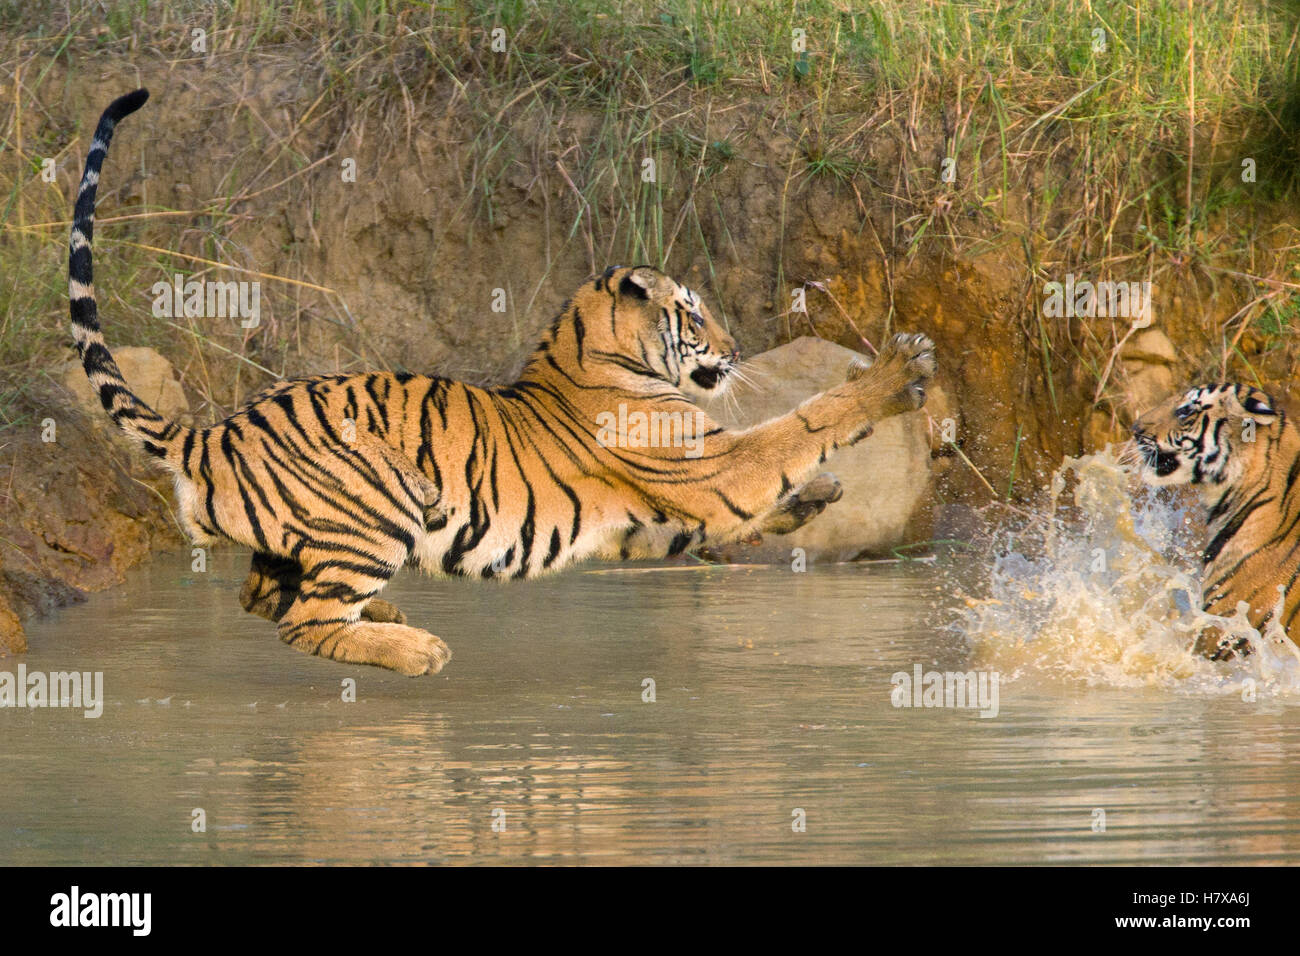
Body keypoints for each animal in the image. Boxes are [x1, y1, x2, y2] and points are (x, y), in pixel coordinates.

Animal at [69, 89, 937, 676]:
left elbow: (773, 486)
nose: (734, 346)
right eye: (696, 312)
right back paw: (417, 647)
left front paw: (819, 494)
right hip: (377, 499)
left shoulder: (663, 515)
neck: (590, 352)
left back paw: (388, 610)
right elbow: (801, 423)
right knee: (303, 621)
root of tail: (210, 431)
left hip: (300, 535)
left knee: (264, 597)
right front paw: (899, 372)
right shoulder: (708, 469)